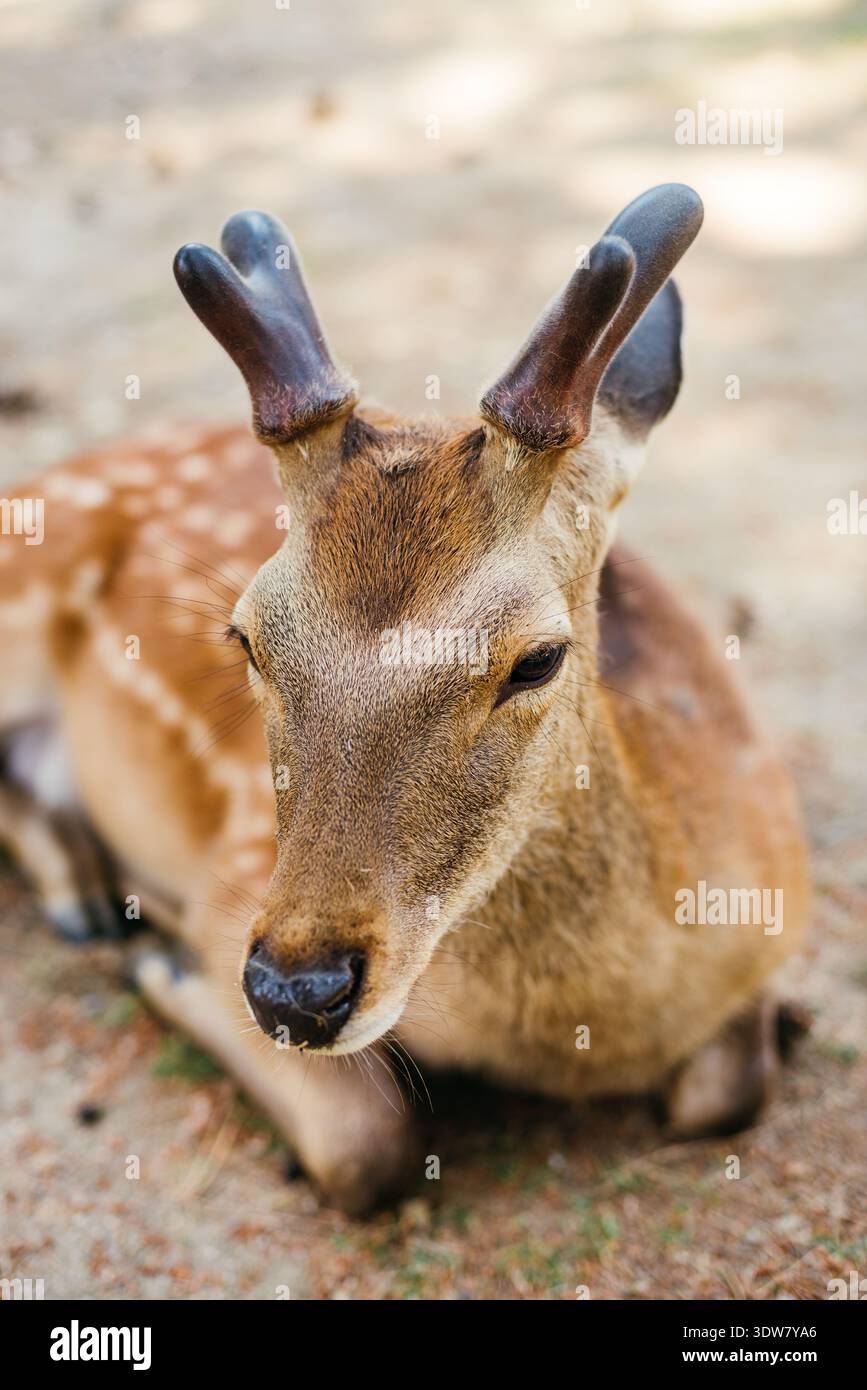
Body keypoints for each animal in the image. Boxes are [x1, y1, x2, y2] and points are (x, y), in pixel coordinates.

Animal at [0, 184, 809, 1213]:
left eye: (539, 658)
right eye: (246, 636)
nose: (294, 993)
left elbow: (727, 1093)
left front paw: (789, 1024)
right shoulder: (234, 873)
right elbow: (369, 1141)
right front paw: (162, 964)